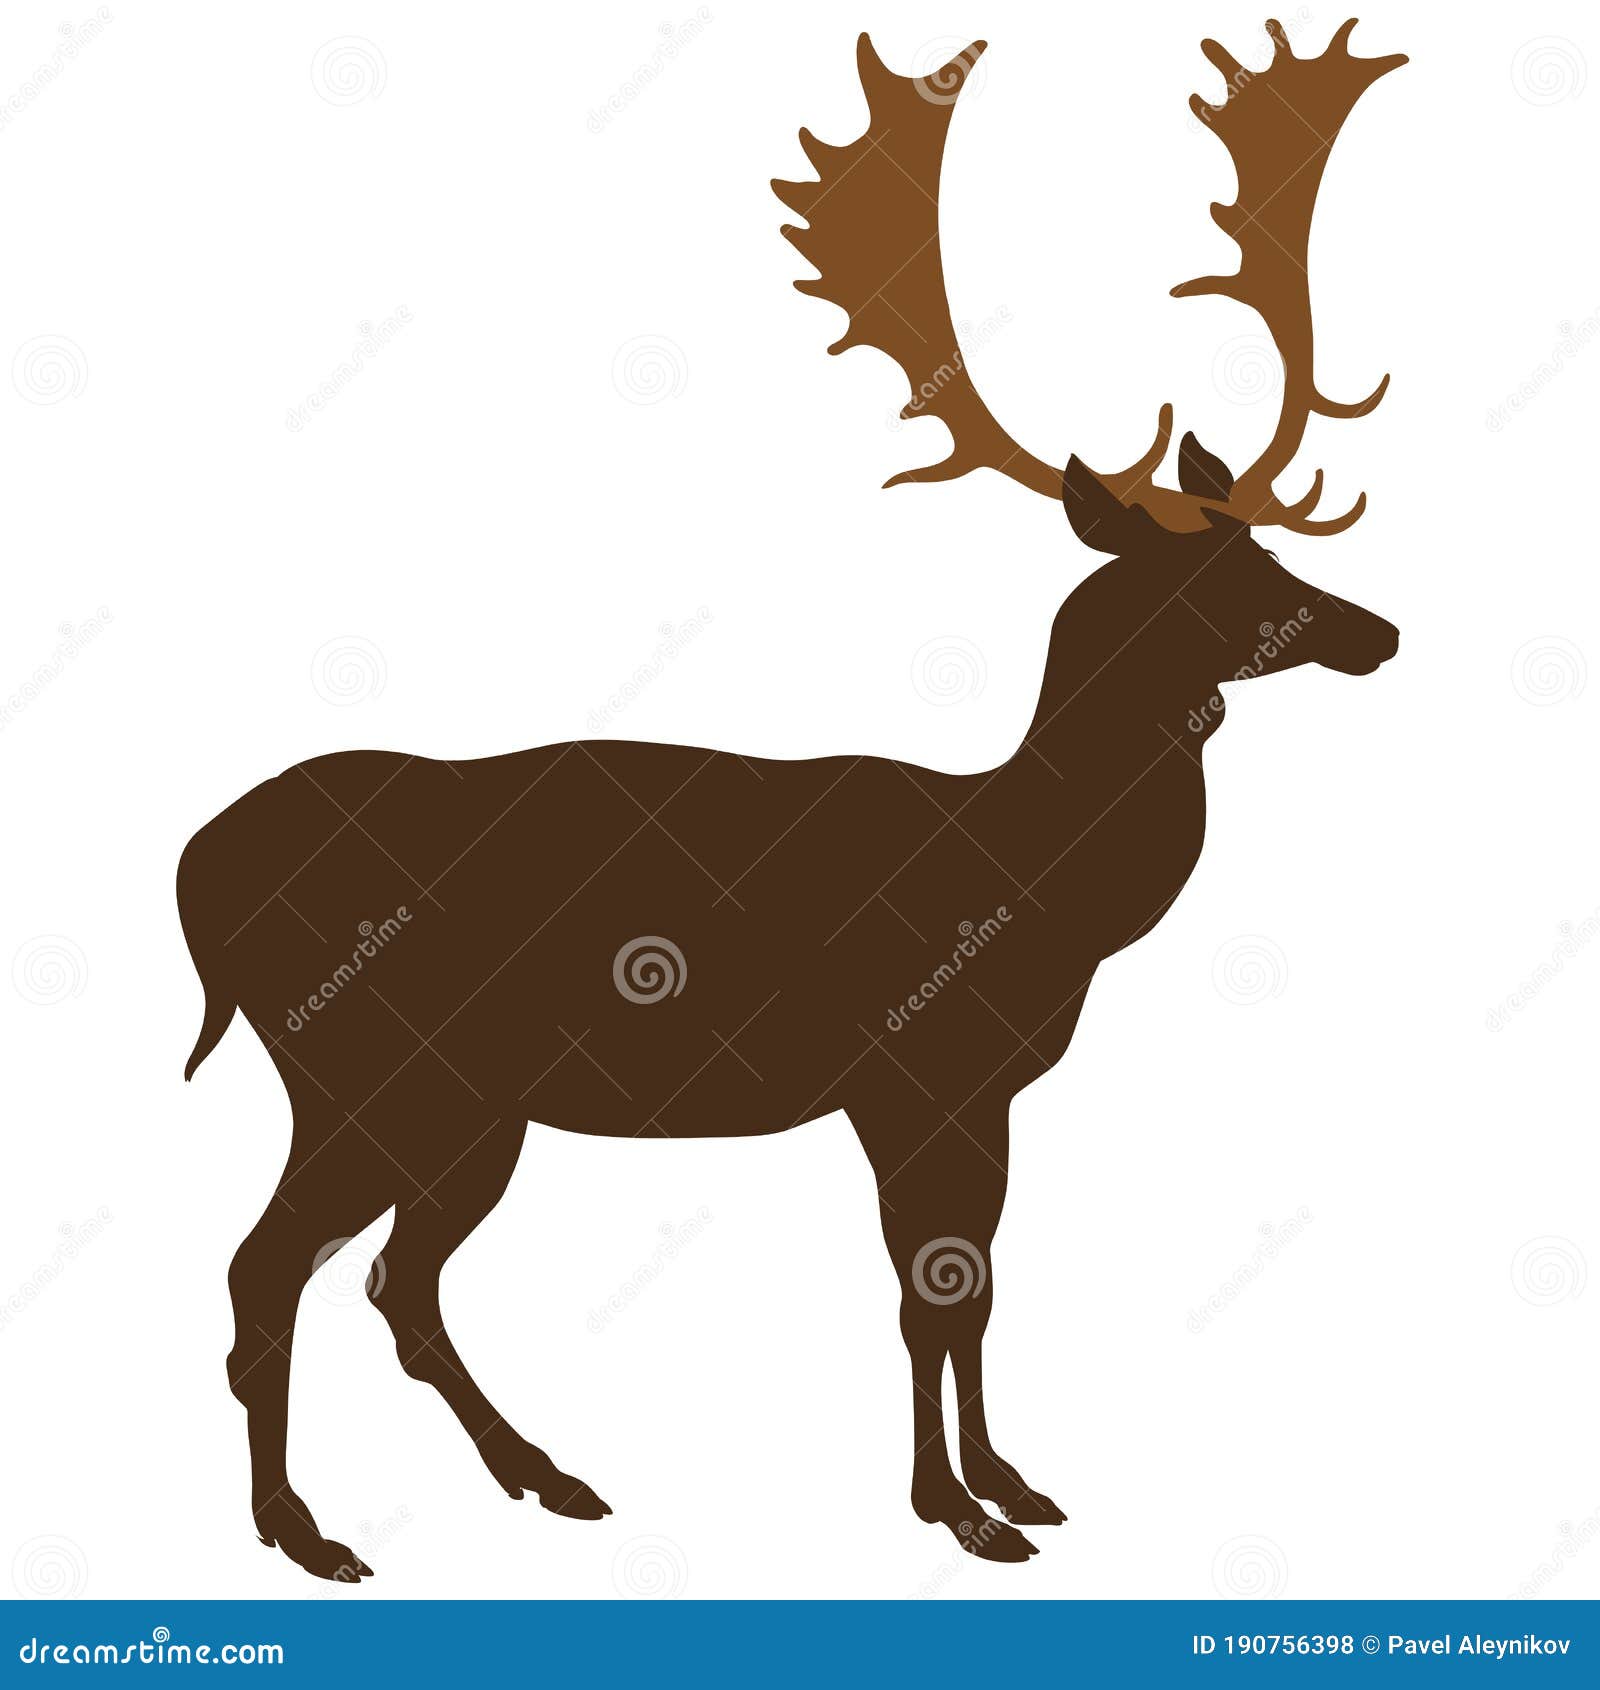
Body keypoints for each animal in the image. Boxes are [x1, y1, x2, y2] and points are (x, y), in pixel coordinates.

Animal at [179, 20, 1405, 1580]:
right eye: (1210, 577)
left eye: (1263, 551)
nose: (1376, 630)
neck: (1038, 883)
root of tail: (194, 876)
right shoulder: (912, 1069)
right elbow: (932, 1287)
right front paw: (957, 1512)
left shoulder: (978, 1093)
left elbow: (976, 1282)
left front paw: (1012, 1482)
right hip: (362, 1069)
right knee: (266, 1264)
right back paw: (306, 1531)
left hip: (468, 1107)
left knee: (397, 1279)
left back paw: (545, 1477)